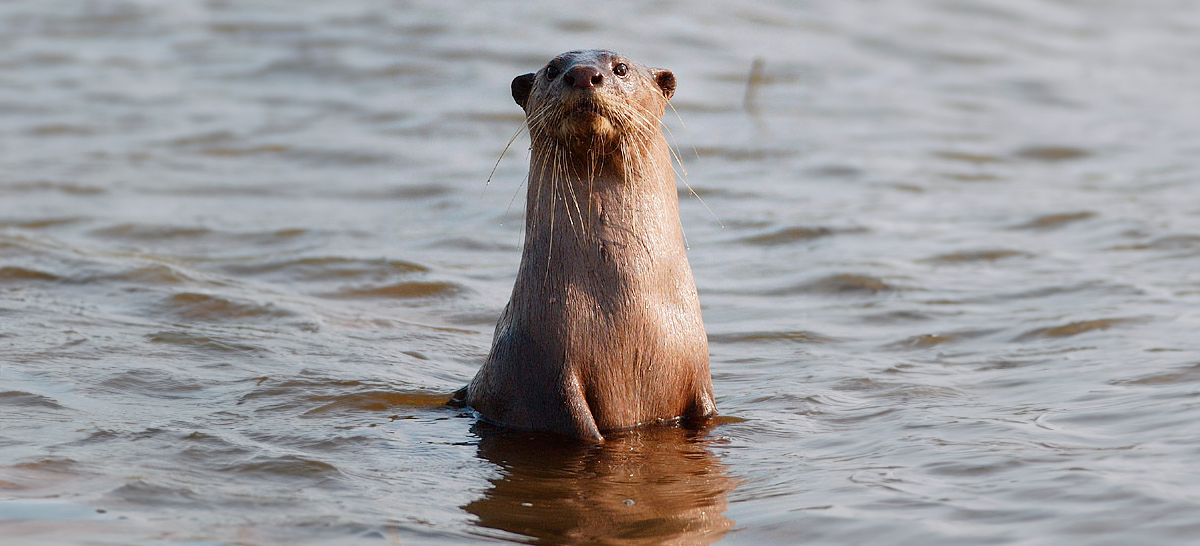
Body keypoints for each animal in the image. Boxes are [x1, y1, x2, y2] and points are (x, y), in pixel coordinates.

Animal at [458, 50, 715, 442]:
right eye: (552, 69)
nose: (582, 74)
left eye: (621, 68)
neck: (628, 313)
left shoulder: (698, 374)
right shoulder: (548, 375)